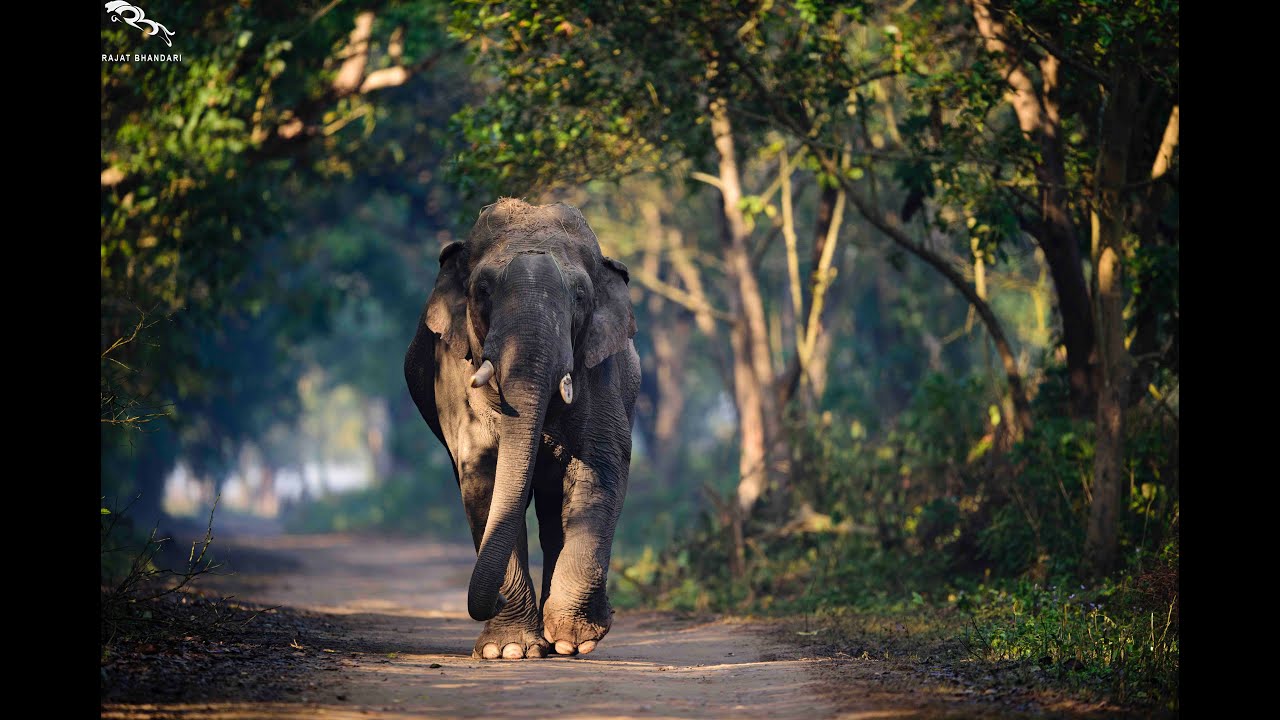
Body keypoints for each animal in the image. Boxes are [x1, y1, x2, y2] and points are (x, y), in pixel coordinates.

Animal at [403, 198, 640, 660]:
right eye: (482, 290)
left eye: (580, 295)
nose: (489, 600)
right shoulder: (456, 379)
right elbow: (484, 476)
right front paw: (509, 651)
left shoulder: (602, 372)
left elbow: (601, 468)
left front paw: (574, 641)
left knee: (554, 516)